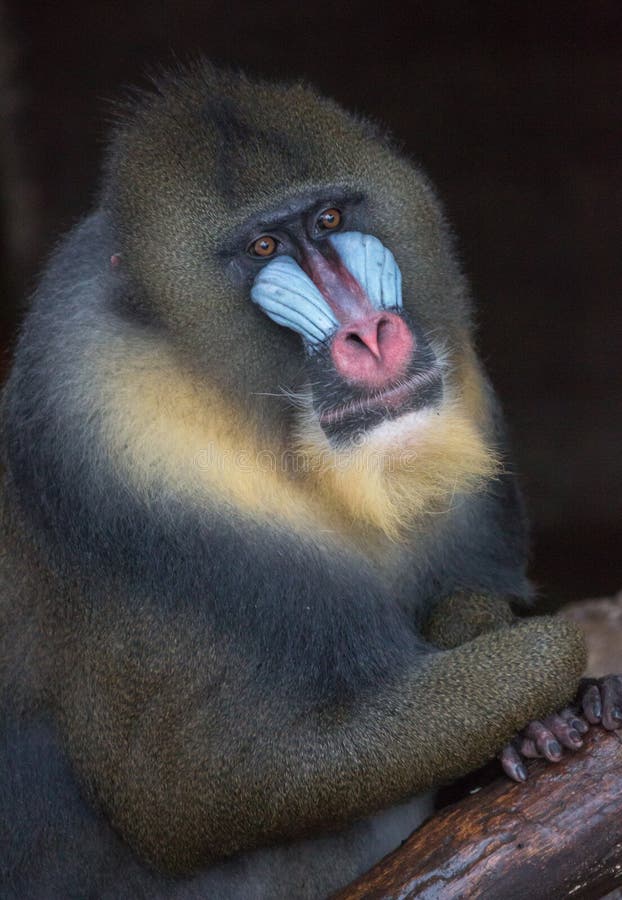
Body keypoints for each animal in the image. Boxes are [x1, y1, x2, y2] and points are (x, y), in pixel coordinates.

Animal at [1, 61, 620, 899]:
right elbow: (190, 788)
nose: (370, 334)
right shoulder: (119, 442)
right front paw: (548, 687)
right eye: (265, 245)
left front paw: (568, 704)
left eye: (328, 220)